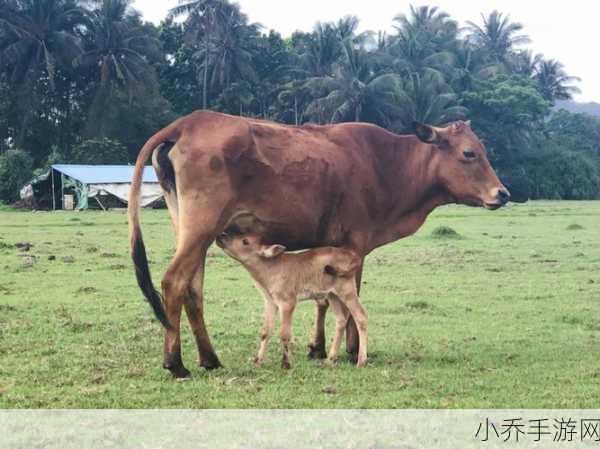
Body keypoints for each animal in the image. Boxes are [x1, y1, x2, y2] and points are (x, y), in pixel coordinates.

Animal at [216, 233, 366, 366]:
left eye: (245, 241)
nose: (221, 235)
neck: (270, 269)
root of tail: (352, 255)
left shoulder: (288, 302)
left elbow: (284, 334)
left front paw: (286, 363)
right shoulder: (270, 302)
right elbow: (265, 331)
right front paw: (258, 360)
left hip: (347, 290)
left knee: (361, 317)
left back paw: (361, 361)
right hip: (332, 295)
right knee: (341, 320)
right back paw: (330, 359)